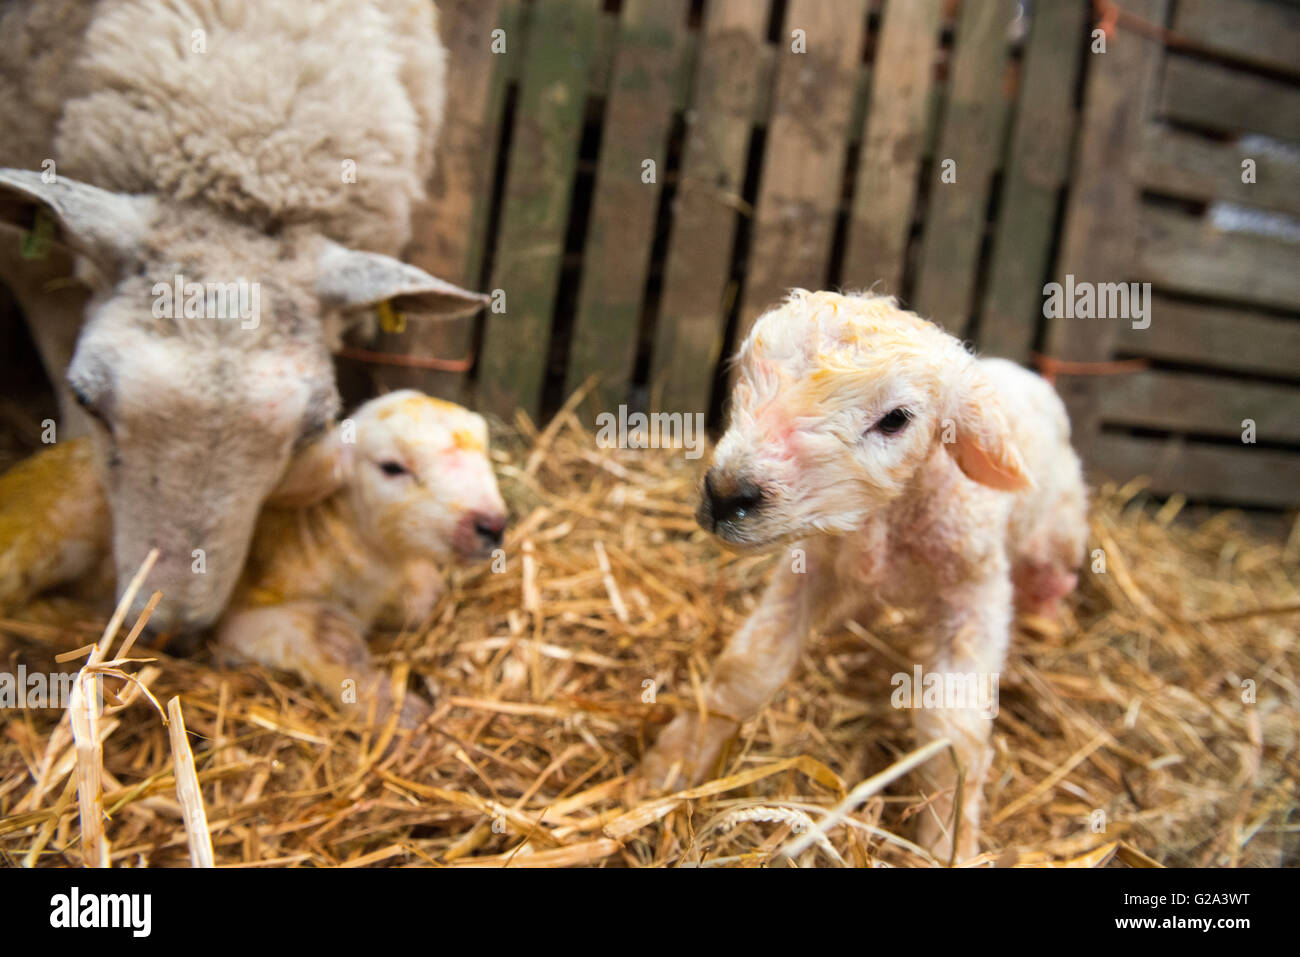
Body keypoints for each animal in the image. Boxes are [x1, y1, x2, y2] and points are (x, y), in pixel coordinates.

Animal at [0, 391, 508, 727]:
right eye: (392, 467)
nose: (491, 525)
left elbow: (423, 596)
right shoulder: (236, 621)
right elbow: (327, 635)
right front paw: (396, 712)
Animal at [639, 290, 1087, 862]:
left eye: (896, 419)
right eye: (749, 372)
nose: (726, 495)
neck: (888, 521)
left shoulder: (978, 592)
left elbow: (952, 728)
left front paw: (949, 844)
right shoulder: (813, 566)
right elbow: (748, 669)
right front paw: (672, 763)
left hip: (1060, 529)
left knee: (1056, 573)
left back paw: (1050, 618)